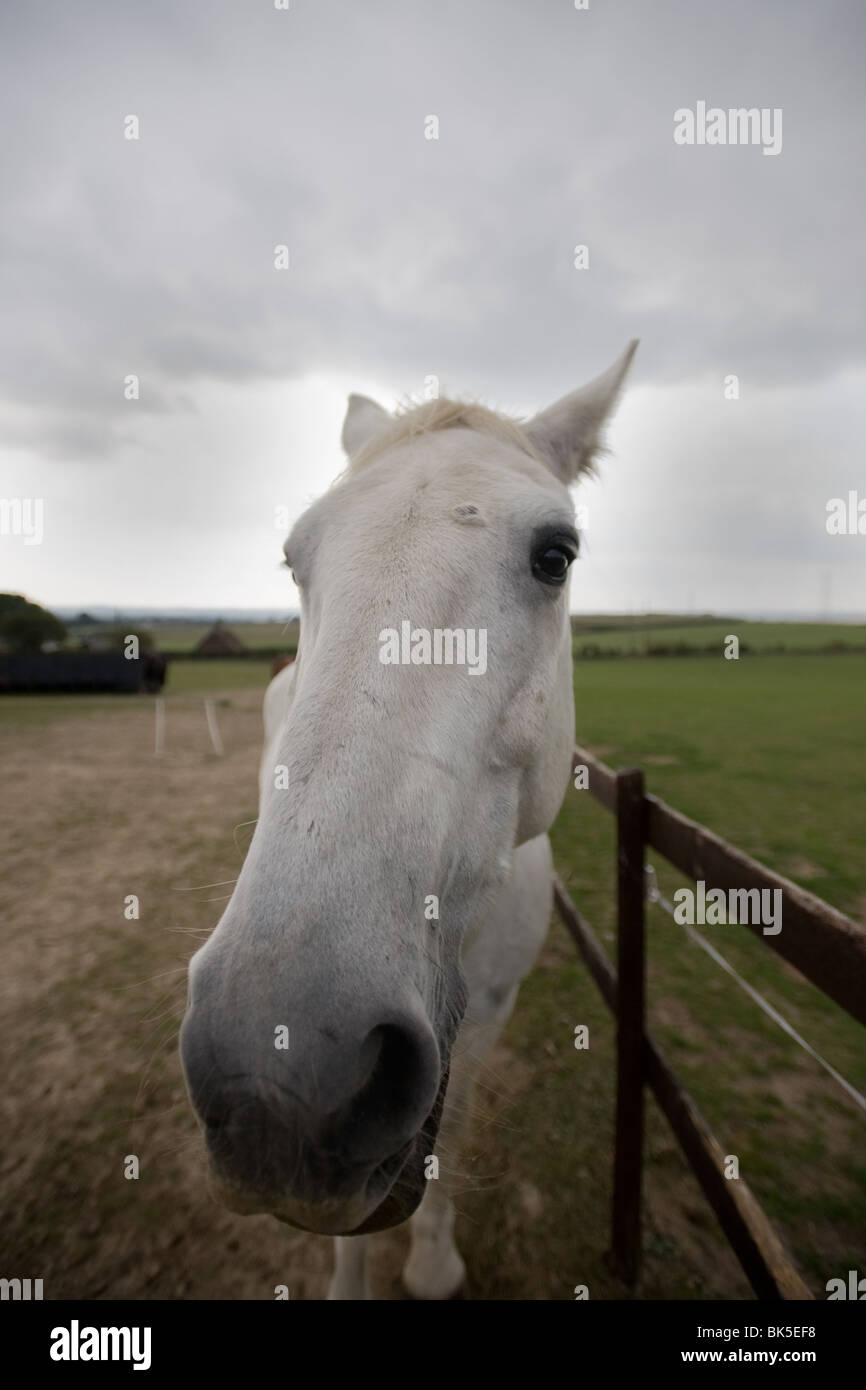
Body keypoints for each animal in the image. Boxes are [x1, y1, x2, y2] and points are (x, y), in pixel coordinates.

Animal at [180, 342, 637, 1299]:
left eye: (557, 555)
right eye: (294, 561)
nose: (275, 1072)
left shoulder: (492, 1010)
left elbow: (452, 1129)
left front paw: (432, 1262)